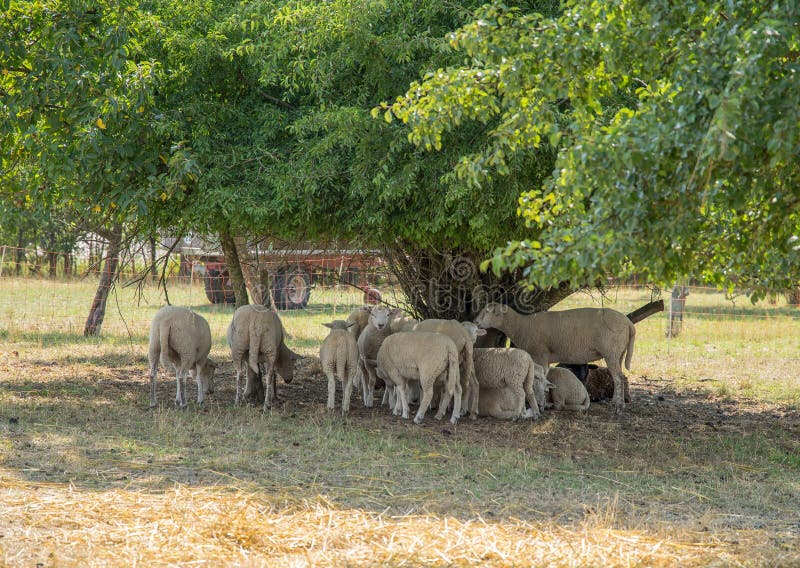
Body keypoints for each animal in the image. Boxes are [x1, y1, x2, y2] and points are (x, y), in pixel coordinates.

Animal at [474, 303, 634, 415]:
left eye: (487, 311)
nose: (475, 322)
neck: (521, 326)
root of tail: (629, 323)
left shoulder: (541, 354)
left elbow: (543, 377)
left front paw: (542, 403)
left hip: (611, 351)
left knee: (618, 378)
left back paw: (619, 407)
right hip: (619, 353)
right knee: (618, 377)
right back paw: (614, 403)